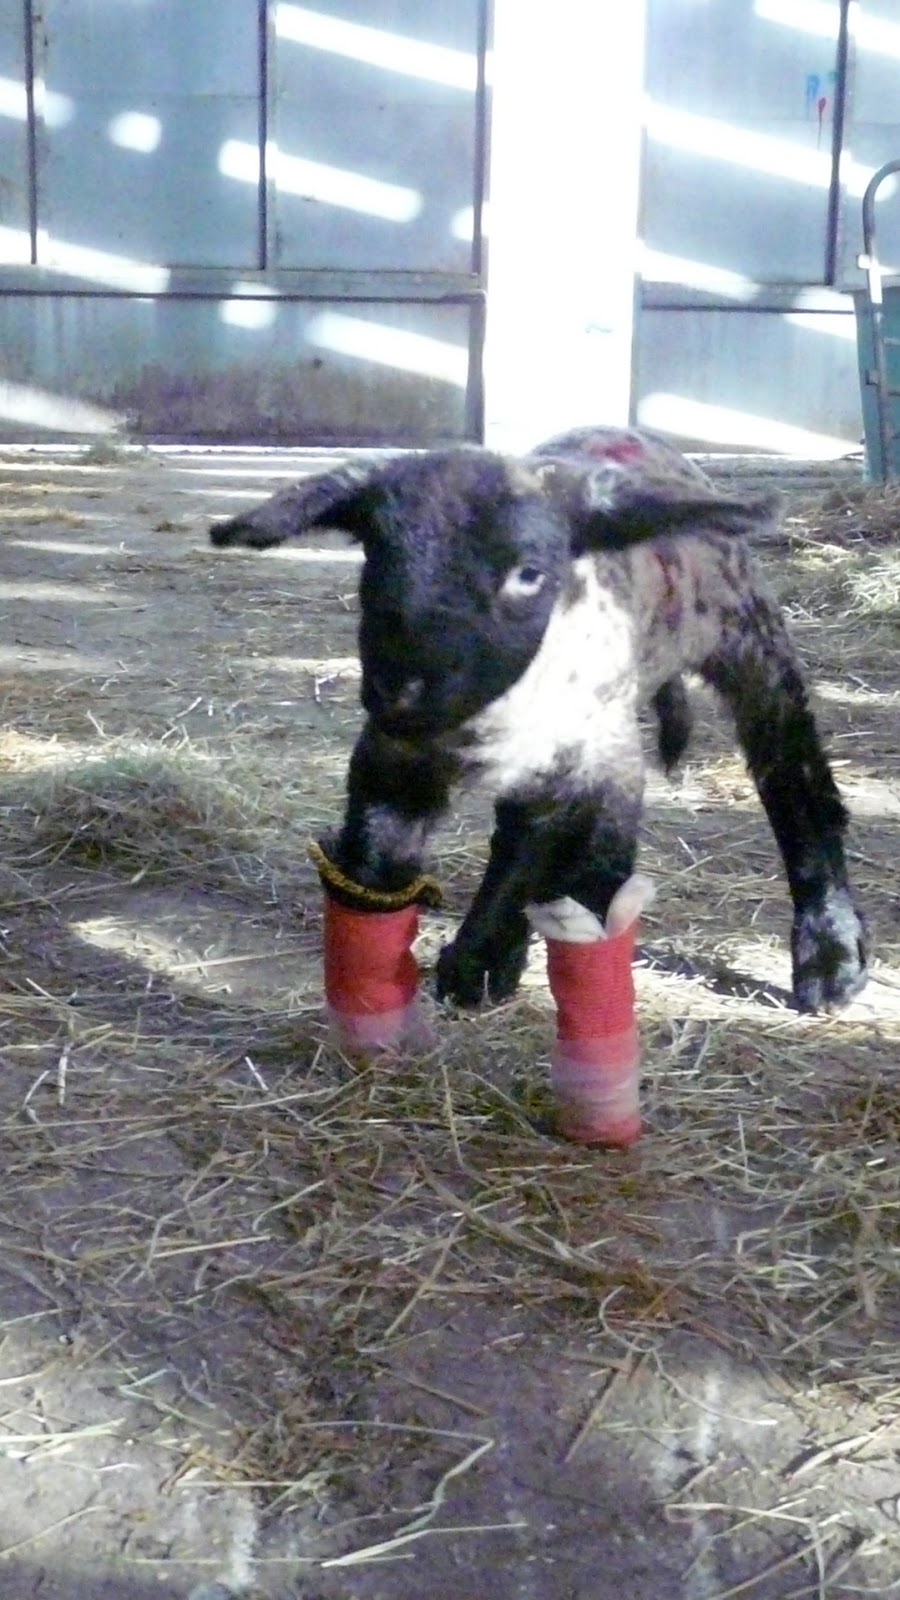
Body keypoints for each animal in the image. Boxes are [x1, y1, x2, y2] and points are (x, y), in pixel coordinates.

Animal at [210, 425, 867, 1143]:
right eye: (376, 558)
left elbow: (570, 871)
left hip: (750, 648)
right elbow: (382, 864)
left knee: (797, 785)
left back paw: (830, 951)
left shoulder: (595, 759)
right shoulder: (395, 760)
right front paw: (399, 998)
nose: (402, 692)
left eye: (529, 574)